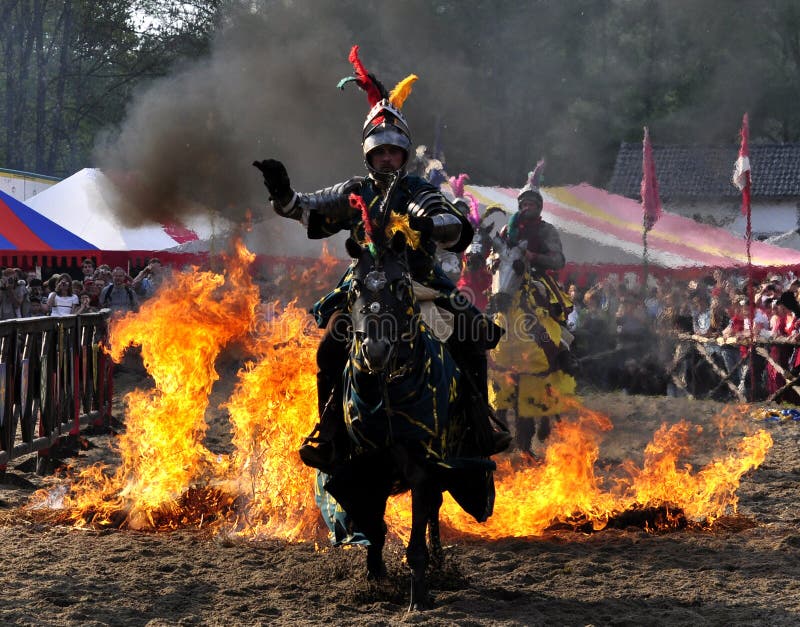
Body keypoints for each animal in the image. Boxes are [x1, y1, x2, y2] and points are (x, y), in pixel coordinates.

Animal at [322, 228, 496, 612]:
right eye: (355, 287)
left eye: (400, 284)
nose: (375, 350)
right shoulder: (367, 463)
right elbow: (373, 525)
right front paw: (375, 578)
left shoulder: (423, 463)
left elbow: (419, 526)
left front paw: (418, 596)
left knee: (434, 508)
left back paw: (438, 564)